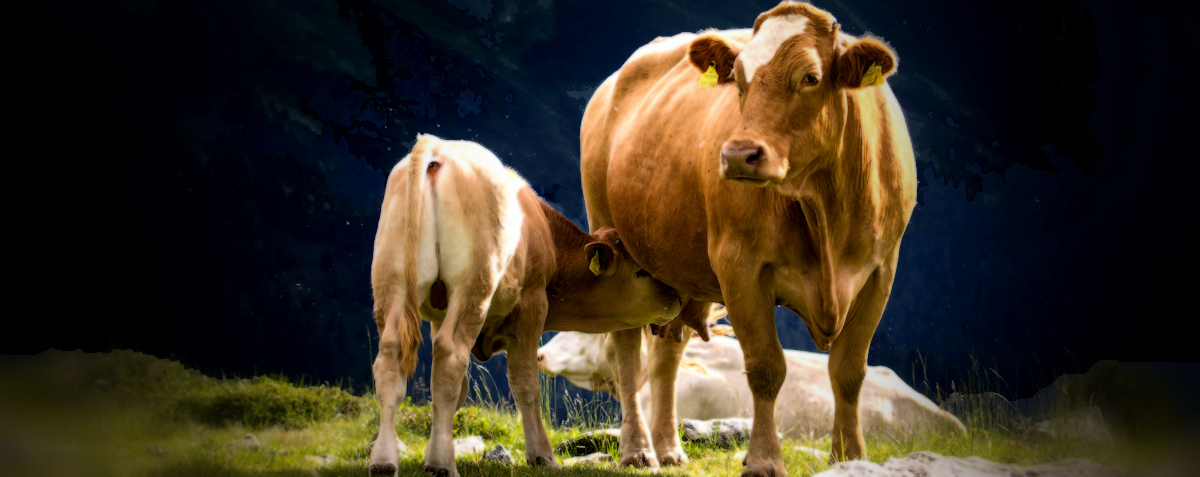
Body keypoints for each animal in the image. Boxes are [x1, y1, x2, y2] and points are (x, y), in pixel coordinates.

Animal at [368, 135, 682, 477]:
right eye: (641, 272)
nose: (677, 297)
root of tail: (437, 148)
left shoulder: (438, 315)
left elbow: (458, 390)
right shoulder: (532, 304)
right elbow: (526, 383)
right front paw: (542, 455)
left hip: (392, 282)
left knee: (390, 358)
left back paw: (383, 460)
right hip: (473, 285)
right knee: (450, 355)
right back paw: (442, 465)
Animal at [579, 2, 918, 474]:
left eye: (810, 77)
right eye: (738, 79)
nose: (739, 154)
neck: (825, 209)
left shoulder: (880, 272)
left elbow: (849, 370)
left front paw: (851, 455)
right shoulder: (740, 266)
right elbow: (765, 368)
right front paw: (763, 459)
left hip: (676, 273)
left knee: (668, 354)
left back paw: (668, 447)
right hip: (611, 237)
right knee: (626, 351)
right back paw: (638, 450)